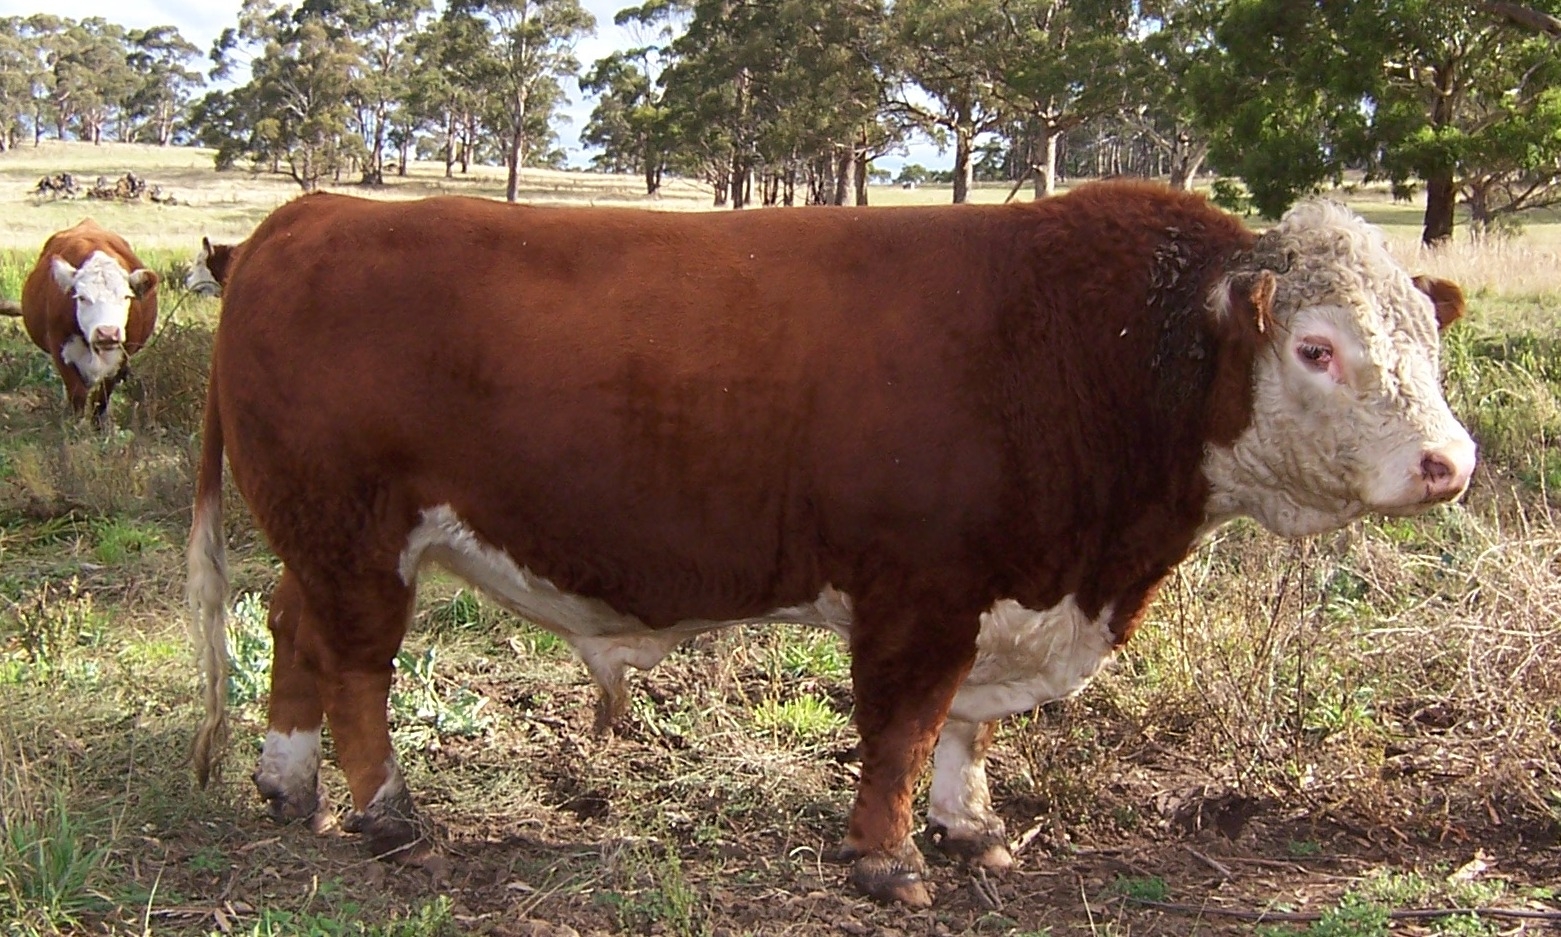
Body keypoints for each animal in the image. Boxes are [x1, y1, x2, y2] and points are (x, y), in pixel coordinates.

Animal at [20, 220, 159, 424]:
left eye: (126, 297)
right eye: (82, 297)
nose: (107, 333)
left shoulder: (121, 358)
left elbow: (101, 398)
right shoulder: (61, 350)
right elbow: (77, 395)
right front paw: (75, 426)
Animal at [186, 181, 1475, 908]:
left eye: (1425, 335)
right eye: (1316, 347)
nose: (1447, 462)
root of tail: (304, 219)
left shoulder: (1001, 589)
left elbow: (962, 731)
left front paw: (972, 830)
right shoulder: (920, 591)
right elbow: (900, 730)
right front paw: (889, 860)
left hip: (322, 537)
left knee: (295, 631)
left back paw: (286, 783)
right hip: (356, 530)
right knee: (359, 665)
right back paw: (385, 811)